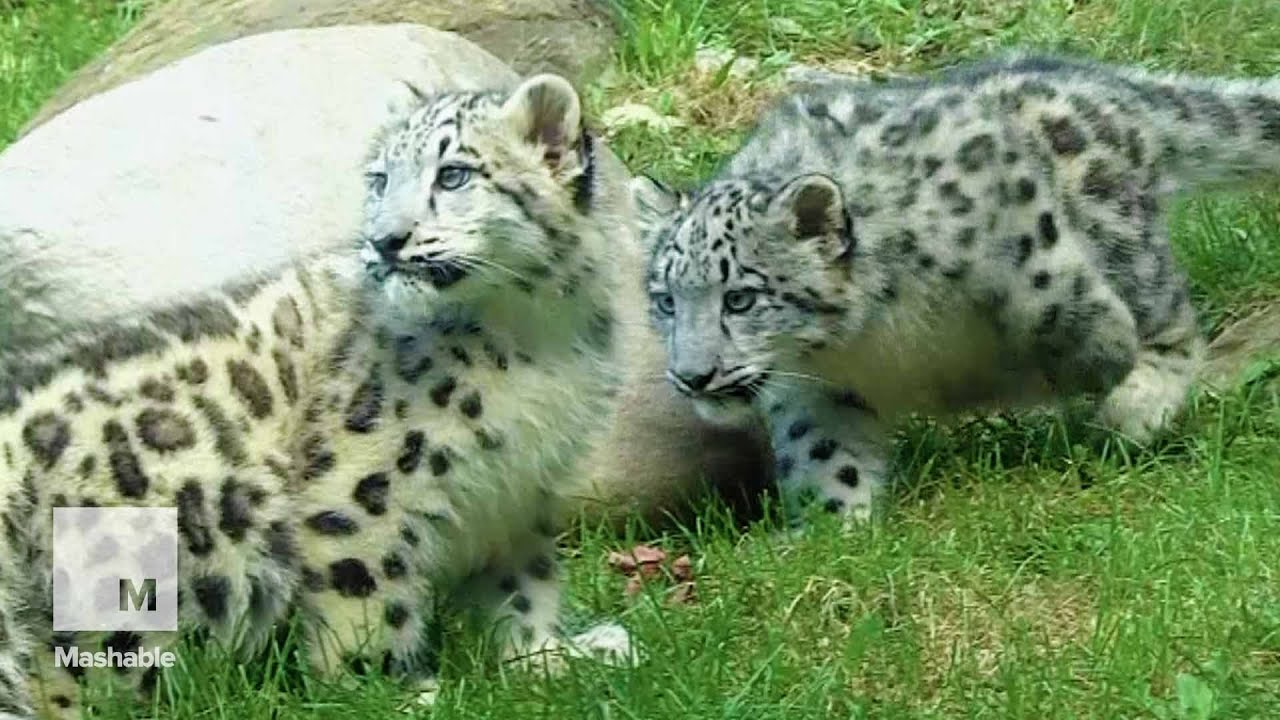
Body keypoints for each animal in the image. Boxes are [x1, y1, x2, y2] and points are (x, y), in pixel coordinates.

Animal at [0, 72, 633, 719]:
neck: (534, 338)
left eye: (454, 174)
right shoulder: (364, 487)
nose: (385, 241)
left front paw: (552, 655)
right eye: (379, 179)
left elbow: (523, 585)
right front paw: (390, 692)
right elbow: (366, 593)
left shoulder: (520, 489)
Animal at [632, 53, 1280, 522]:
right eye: (665, 300)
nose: (692, 376)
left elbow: (1059, 298)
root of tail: (1110, 86)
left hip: (1119, 227)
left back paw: (1135, 405)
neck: (863, 342)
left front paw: (1105, 360)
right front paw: (836, 529)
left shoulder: (1012, 215)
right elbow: (826, 455)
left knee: (1169, 315)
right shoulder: (813, 390)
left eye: (739, 297)